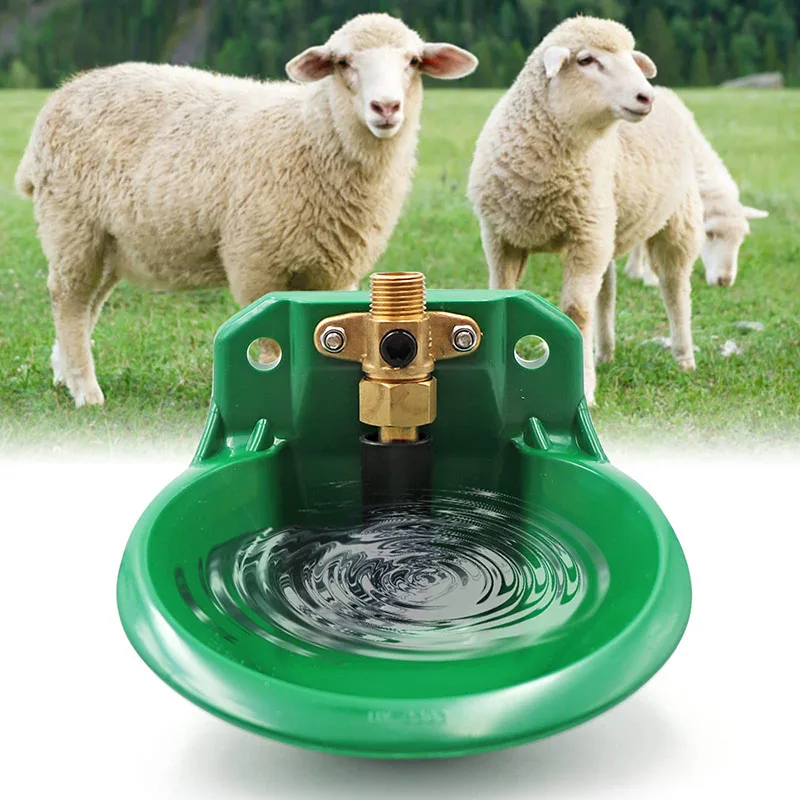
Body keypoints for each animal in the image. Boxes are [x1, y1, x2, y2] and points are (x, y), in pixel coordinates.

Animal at [15, 13, 478, 407]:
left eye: (413, 61)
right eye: (343, 62)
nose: (386, 108)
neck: (313, 133)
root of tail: (63, 94)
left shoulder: (335, 269)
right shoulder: (255, 260)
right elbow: (270, 344)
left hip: (109, 240)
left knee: (88, 305)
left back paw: (64, 374)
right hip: (71, 222)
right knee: (69, 301)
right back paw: (85, 391)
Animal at [468, 16, 703, 406]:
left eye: (632, 58)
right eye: (586, 60)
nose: (645, 97)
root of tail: (670, 94)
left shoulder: (585, 238)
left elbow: (576, 312)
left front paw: (585, 388)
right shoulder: (501, 237)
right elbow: (502, 291)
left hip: (675, 221)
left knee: (675, 288)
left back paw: (684, 357)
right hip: (607, 225)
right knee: (606, 293)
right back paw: (604, 352)